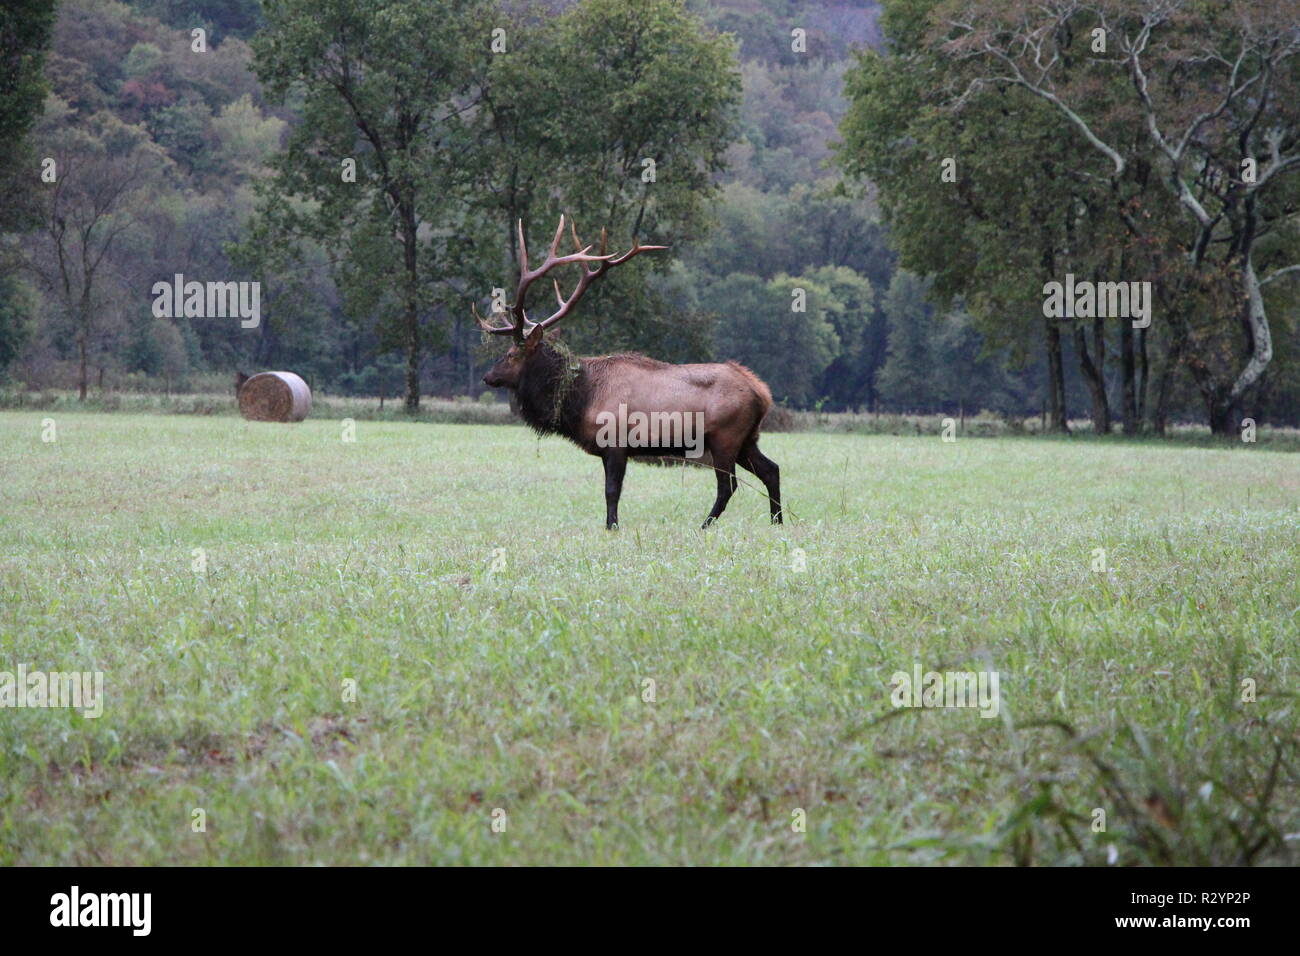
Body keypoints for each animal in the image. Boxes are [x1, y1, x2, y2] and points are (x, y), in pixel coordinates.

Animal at [476, 215, 782, 530]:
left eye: (512, 354)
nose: (488, 376)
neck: (581, 398)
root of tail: (763, 393)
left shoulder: (616, 441)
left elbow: (612, 490)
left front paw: (612, 527)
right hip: (748, 438)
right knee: (771, 470)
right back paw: (777, 522)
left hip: (725, 436)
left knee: (728, 485)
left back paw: (705, 525)